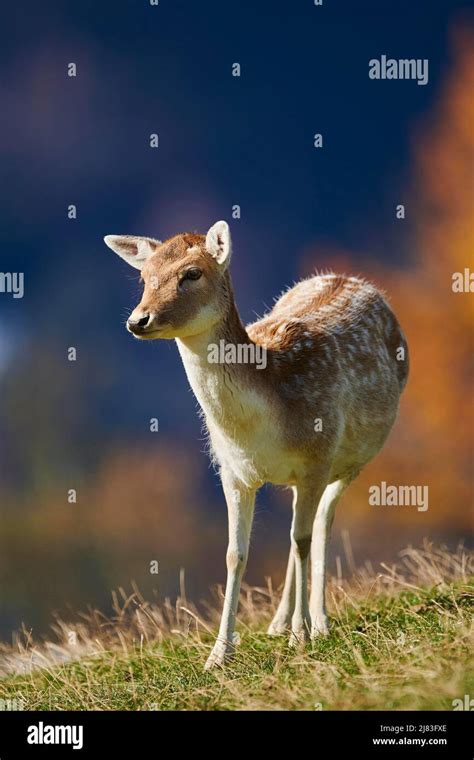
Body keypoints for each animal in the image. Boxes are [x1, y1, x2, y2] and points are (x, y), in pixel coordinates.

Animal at [104, 220, 409, 670]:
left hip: (356, 458)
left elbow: (302, 541)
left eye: (192, 273)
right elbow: (236, 552)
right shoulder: (231, 470)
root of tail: (357, 281)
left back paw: (317, 622)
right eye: (144, 277)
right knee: (299, 530)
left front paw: (301, 638)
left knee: (319, 525)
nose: (138, 320)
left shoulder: (317, 457)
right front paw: (219, 654)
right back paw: (278, 623)